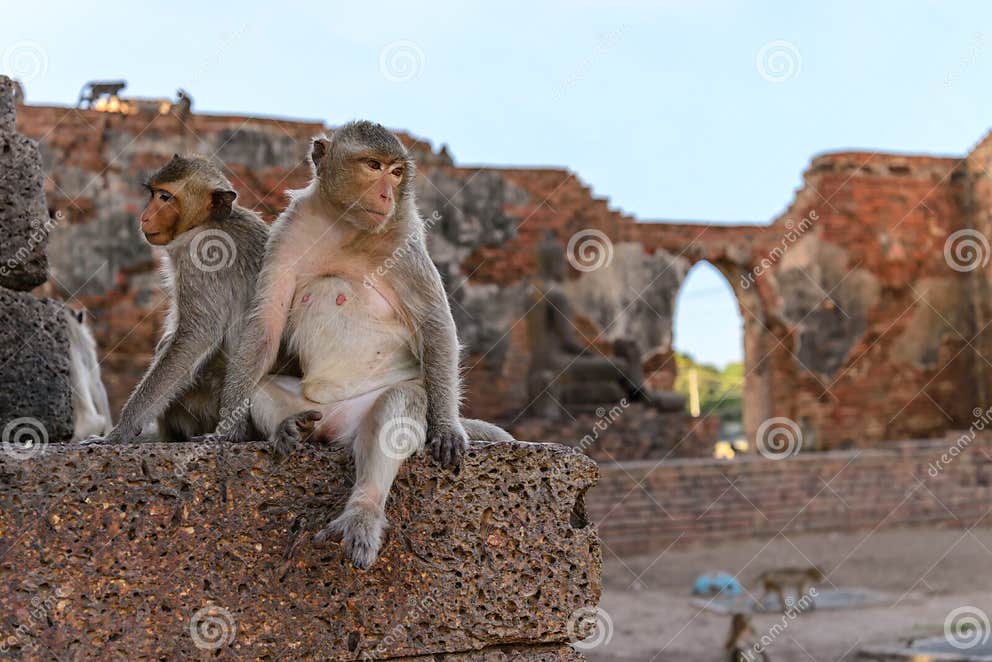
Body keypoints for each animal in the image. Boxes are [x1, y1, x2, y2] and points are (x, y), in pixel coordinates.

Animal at [85, 155, 271, 444]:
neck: (211, 222)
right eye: (153, 194)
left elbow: (196, 336)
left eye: (165, 197)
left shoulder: (202, 256)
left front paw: (121, 430)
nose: (144, 216)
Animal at [209, 121, 512, 568]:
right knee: (263, 388)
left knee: (396, 406)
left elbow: (434, 323)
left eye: (397, 172)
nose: (386, 194)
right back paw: (290, 428)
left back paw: (363, 511)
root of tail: (334, 427)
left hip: (369, 409)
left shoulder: (404, 238)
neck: (344, 225)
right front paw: (228, 430)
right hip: (315, 409)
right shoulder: (288, 231)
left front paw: (446, 427)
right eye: (372, 166)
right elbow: (266, 323)